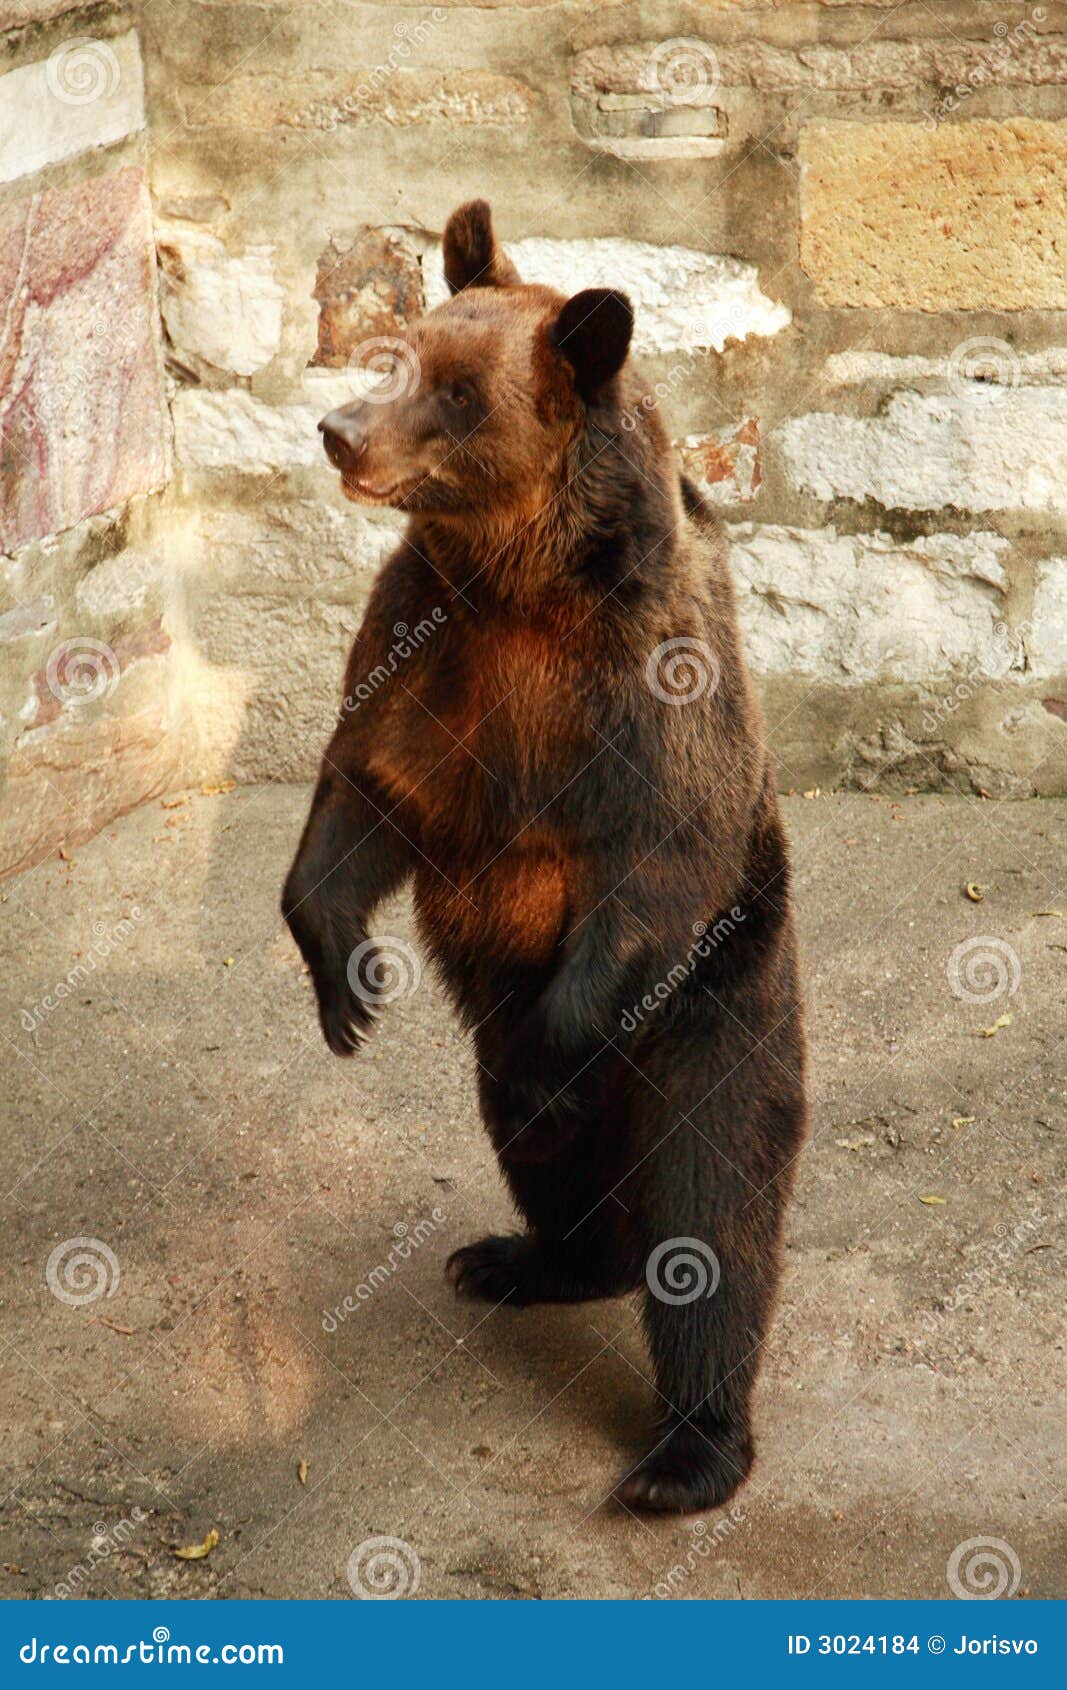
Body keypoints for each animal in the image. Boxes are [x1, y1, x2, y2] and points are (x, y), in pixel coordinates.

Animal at [282, 200, 807, 1515]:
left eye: (458, 391)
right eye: (401, 352)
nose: (339, 429)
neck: (520, 586)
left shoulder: (650, 692)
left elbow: (652, 864)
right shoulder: (426, 655)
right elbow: (361, 794)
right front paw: (346, 985)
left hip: (715, 1014)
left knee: (710, 1215)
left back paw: (684, 1455)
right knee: (551, 1170)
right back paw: (528, 1255)